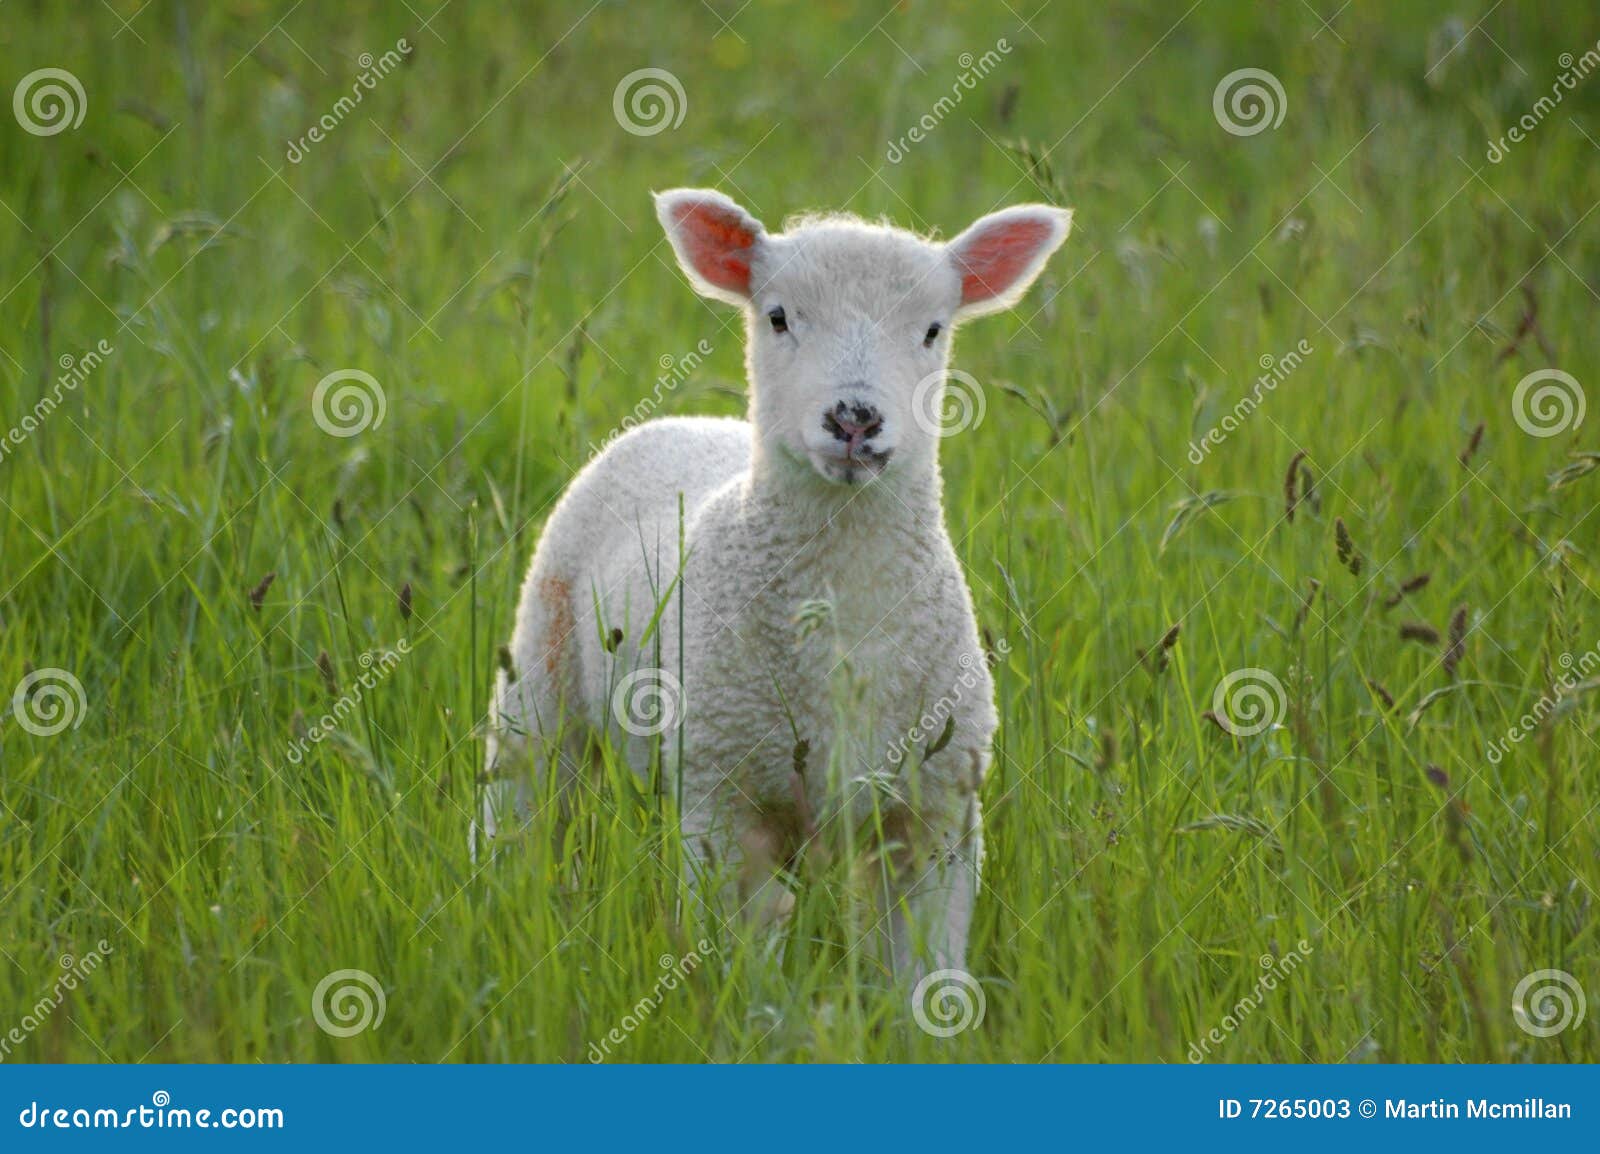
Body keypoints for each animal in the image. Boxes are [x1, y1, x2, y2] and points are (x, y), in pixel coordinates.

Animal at [479, 188, 1072, 981]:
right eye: (780, 317)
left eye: (933, 330)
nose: (854, 419)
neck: (846, 609)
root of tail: (688, 421)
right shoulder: (719, 801)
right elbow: (743, 967)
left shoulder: (937, 810)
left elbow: (924, 970)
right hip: (542, 677)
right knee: (523, 805)